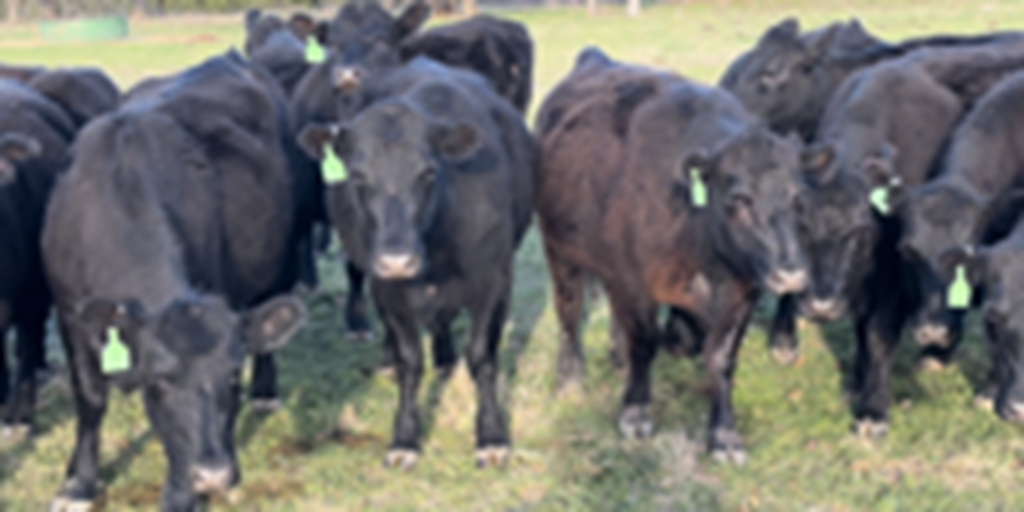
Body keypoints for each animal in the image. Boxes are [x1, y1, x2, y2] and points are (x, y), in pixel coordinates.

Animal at [42, 53, 307, 511]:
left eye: (233, 375)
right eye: (162, 378)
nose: (214, 475)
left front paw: (182, 493)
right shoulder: (69, 314)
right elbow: (90, 398)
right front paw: (79, 481)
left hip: (287, 254)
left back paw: (265, 392)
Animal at [297, 57, 536, 469]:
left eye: (428, 172)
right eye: (358, 175)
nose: (397, 260)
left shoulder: (495, 280)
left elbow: (482, 357)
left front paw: (491, 435)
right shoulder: (388, 289)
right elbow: (410, 361)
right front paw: (405, 437)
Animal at [535, 47, 814, 463]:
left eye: (799, 199)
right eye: (739, 200)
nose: (791, 274)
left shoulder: (743, 290)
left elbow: (721, 357)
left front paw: (724, 434)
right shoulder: (634, 282)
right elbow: (645, 343)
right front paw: (635, 412)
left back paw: (618, 360)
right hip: (559, 250)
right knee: (569, 313)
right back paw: (570, 379)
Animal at [786, 41, 1024, 438]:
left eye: (859, 230)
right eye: (909, 251)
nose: (821, 306)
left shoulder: (891, 287)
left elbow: (879, 338)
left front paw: (873, 410)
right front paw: (858, 383)